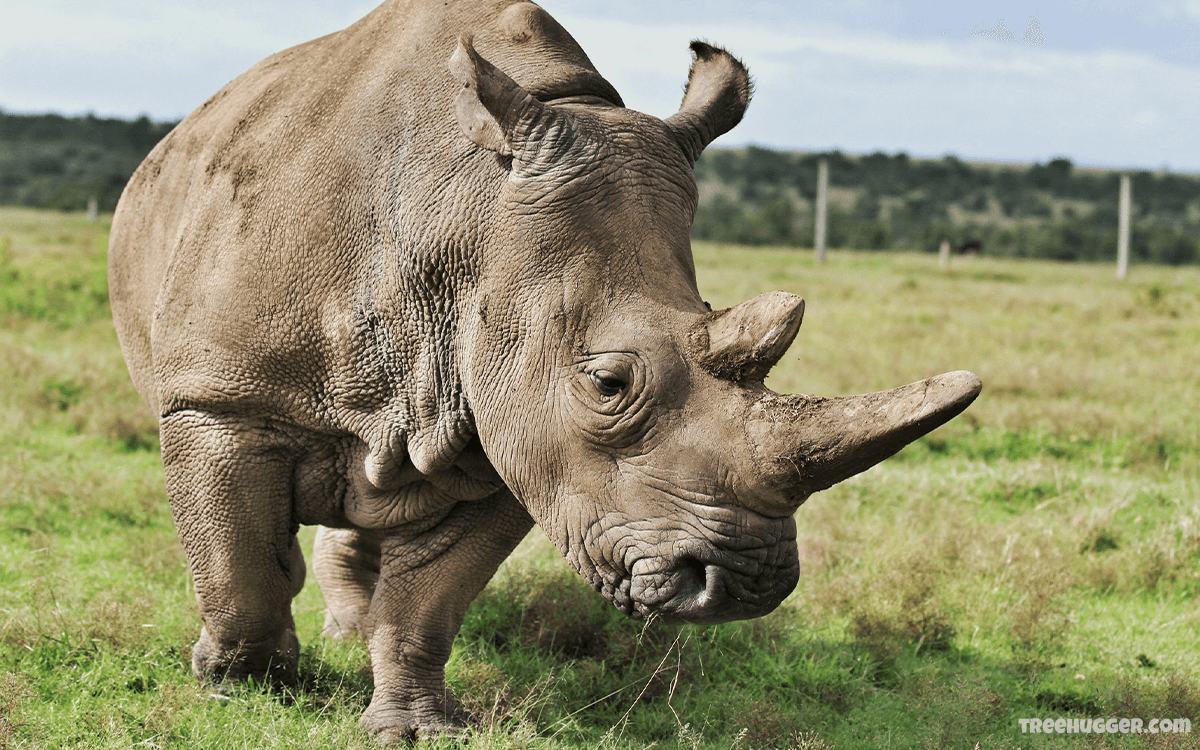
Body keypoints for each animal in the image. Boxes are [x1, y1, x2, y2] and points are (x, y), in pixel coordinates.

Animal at [107, 0, 981, 741]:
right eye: (607, 384)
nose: (746, 584)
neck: (465, 217)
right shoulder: (221, 401)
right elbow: (239, 565)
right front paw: (243, 687)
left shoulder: (513, 435)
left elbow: (429, 601)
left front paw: (418, 729)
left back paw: (350, 630)